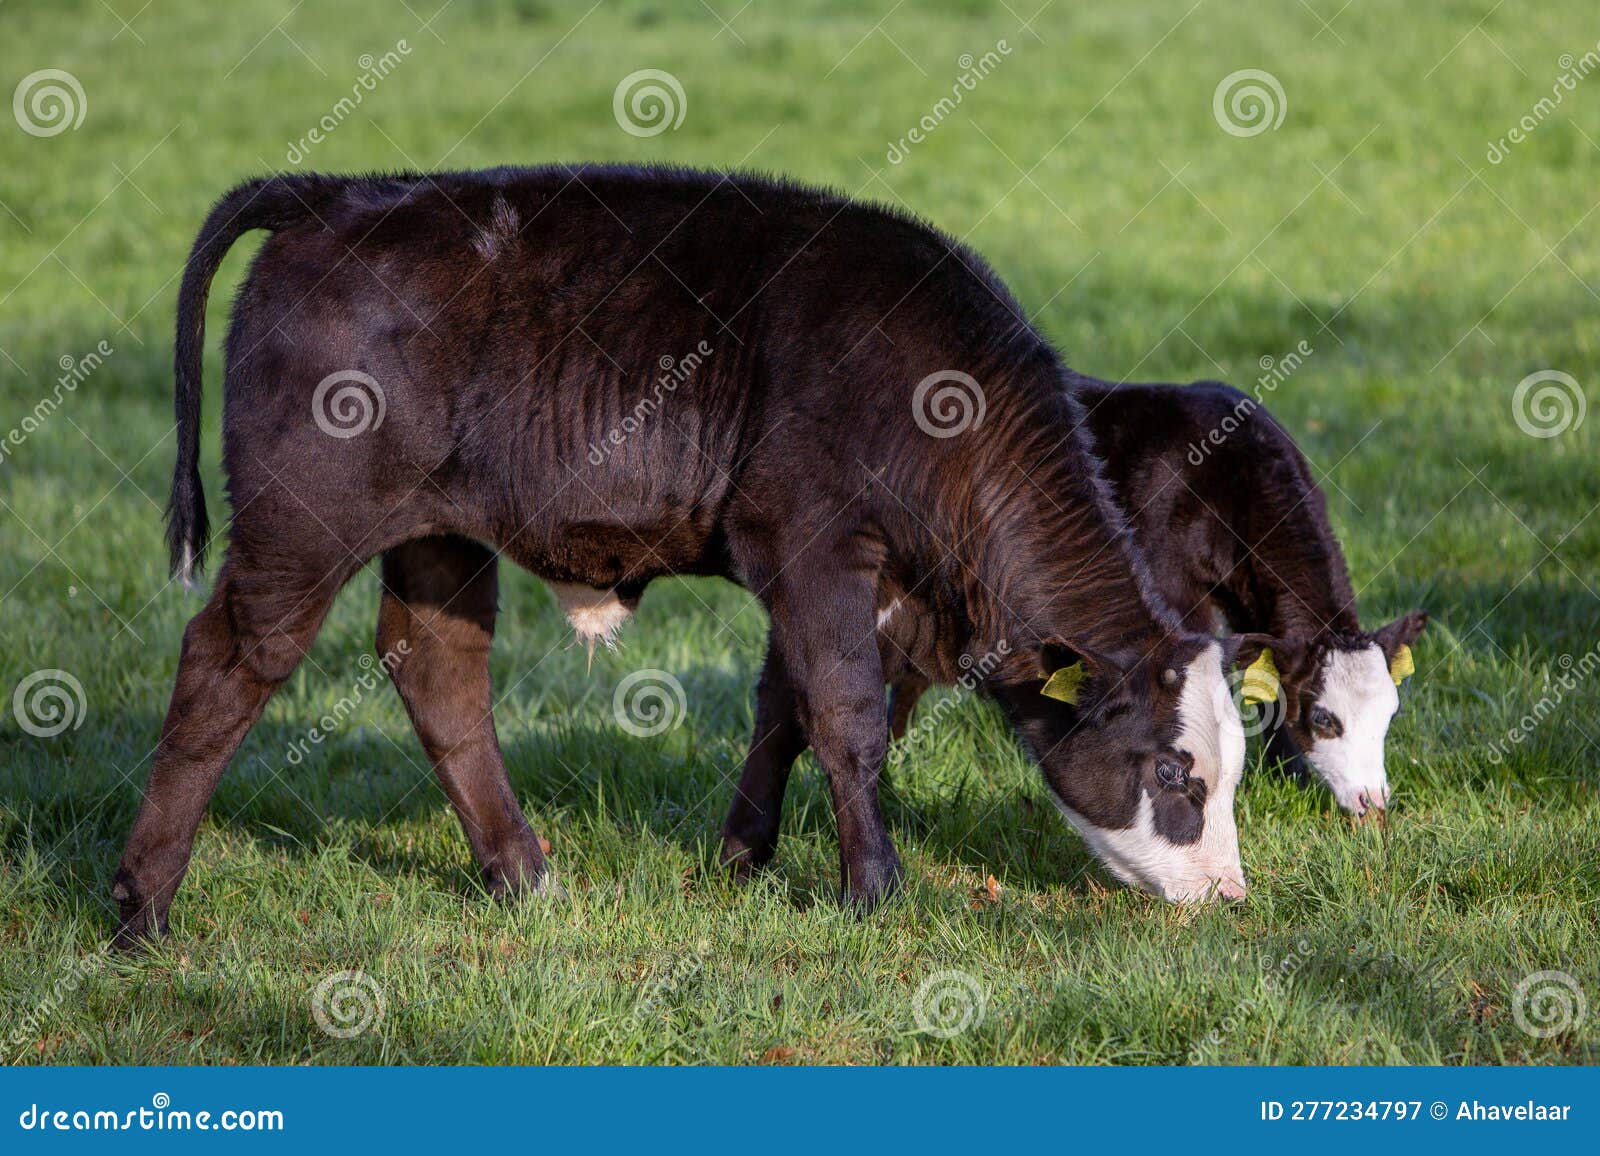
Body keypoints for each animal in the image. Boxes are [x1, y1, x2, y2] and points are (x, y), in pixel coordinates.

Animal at [114, 166, 1257, 946]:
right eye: (1173, 769)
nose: (1230, 893)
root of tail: (338, 193)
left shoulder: (845, 578)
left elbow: (786, 708)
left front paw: (745, 857)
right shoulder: (811, 541)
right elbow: (847, 718)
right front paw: (874, 890)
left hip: (438, 530)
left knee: (437, 669)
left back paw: (524, 876)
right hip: (302, 523)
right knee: (227, 663)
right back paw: (142, 909)